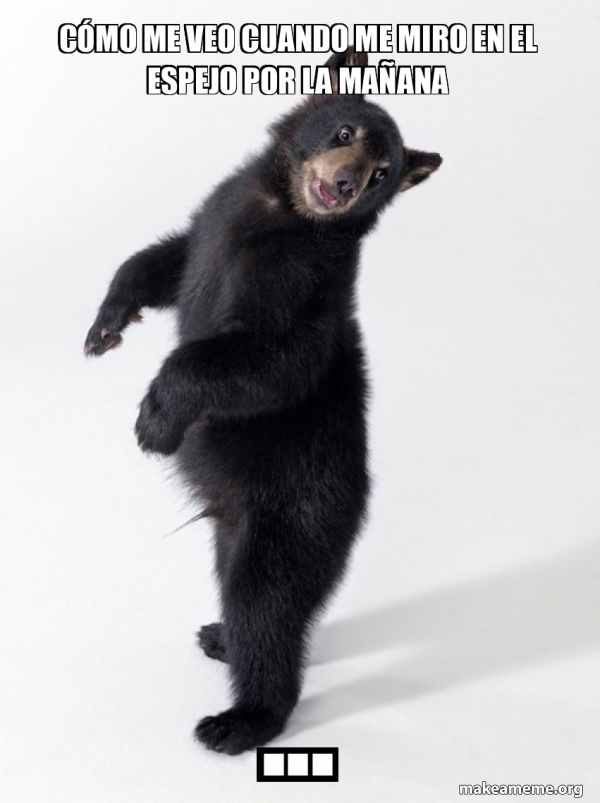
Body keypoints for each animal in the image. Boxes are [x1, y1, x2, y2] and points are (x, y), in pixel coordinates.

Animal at [84, 45, 441, 755]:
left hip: (290, 518)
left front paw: (154, 422)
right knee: (266, 603)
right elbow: (166, 259)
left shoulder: (298, 285)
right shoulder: (213, 218)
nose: (347, 184)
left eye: (383, 172)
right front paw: (107, 323)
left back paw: (240, 718)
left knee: (267, 605)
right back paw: (221, 636)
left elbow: (269, 362)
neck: (280, 211)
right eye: (343, 131)